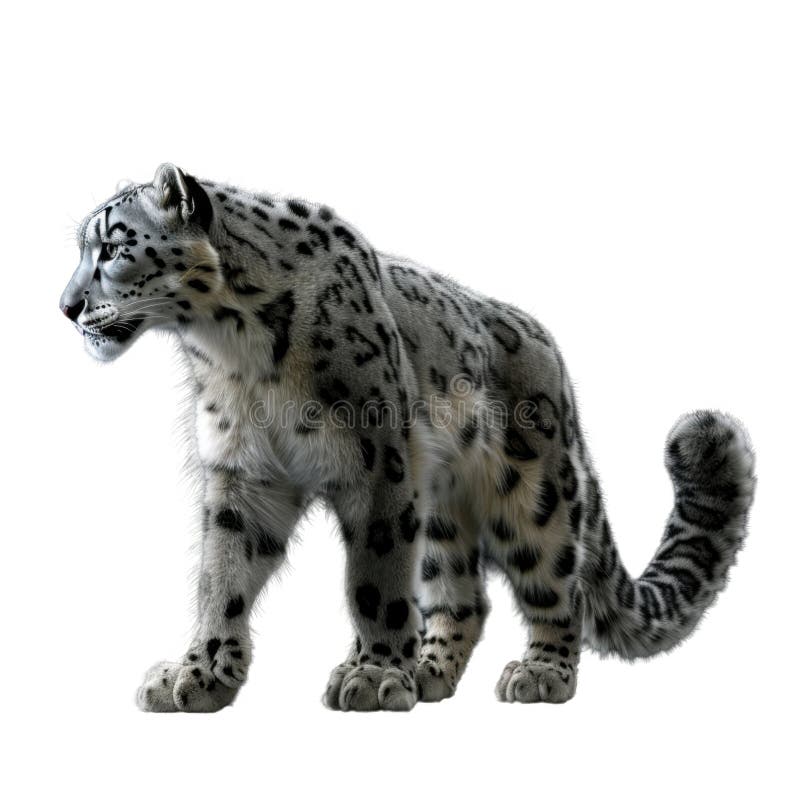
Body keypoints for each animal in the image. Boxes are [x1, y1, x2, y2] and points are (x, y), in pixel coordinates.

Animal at [60, 164, 756, 712]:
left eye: (113, 248)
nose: (67, 307)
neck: (232, 351)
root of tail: (552, 357)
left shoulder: (377, 464)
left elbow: (375, 581)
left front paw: (372, 676)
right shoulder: (244, 473)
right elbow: (220, 577)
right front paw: (198, 674)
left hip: (533, 497)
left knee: (558, 587)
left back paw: (539, 673)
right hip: (441, 510)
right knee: (465, 596)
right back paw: (429, 671)